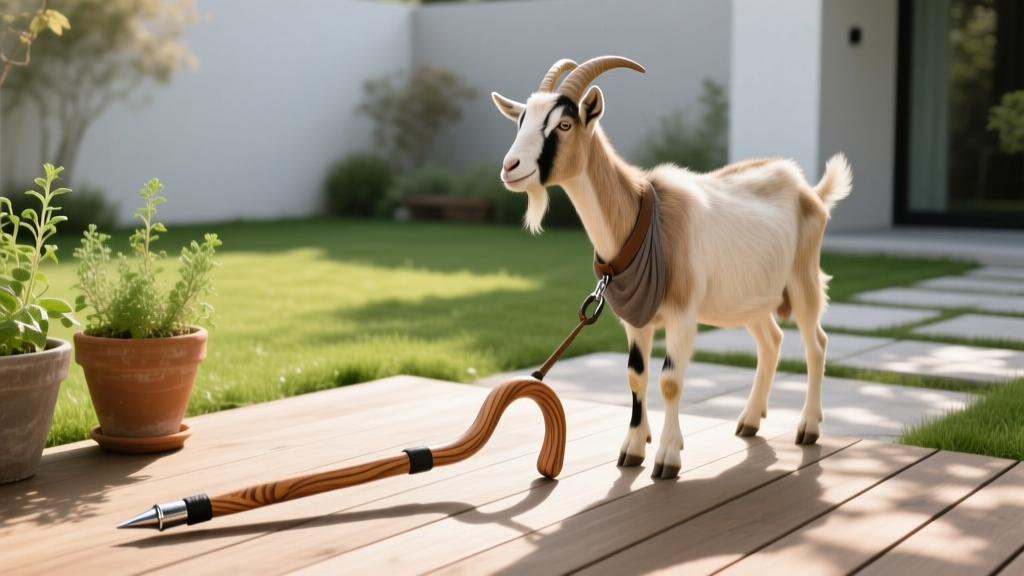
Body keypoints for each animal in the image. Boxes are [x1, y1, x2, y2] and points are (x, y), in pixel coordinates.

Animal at [492, 56, 851, 479]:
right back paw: (749, 420)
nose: (510, 167)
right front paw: (633, 447)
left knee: (816, 344)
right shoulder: (635, 321)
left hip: (803, 279)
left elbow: (669, 381)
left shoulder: (682, 316)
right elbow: (636, 375)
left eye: (563, 124)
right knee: (771, 341)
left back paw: (808, 427)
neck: (640, 216)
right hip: (750, 297)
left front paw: (667, 457)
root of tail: (809, 191)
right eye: (521, 121)